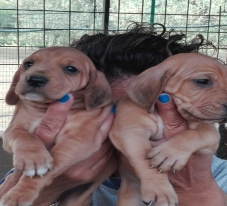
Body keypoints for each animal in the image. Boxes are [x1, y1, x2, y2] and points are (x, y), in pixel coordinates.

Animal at [0, 47, 117, 206]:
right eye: (28, 64)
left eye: (71, 69)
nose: (35, 79)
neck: (44, 109)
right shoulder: (12, 130)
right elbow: (25, 136)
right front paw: (33, 158)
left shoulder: (76, 141)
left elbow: (49, 169)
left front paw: (20, 193)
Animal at [109, 53, 224, 206]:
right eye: (202, 81)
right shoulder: (130, 131)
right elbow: (144, 160)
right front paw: (159, 190)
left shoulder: (210, 133)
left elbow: (194, 135)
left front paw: (170, 153)